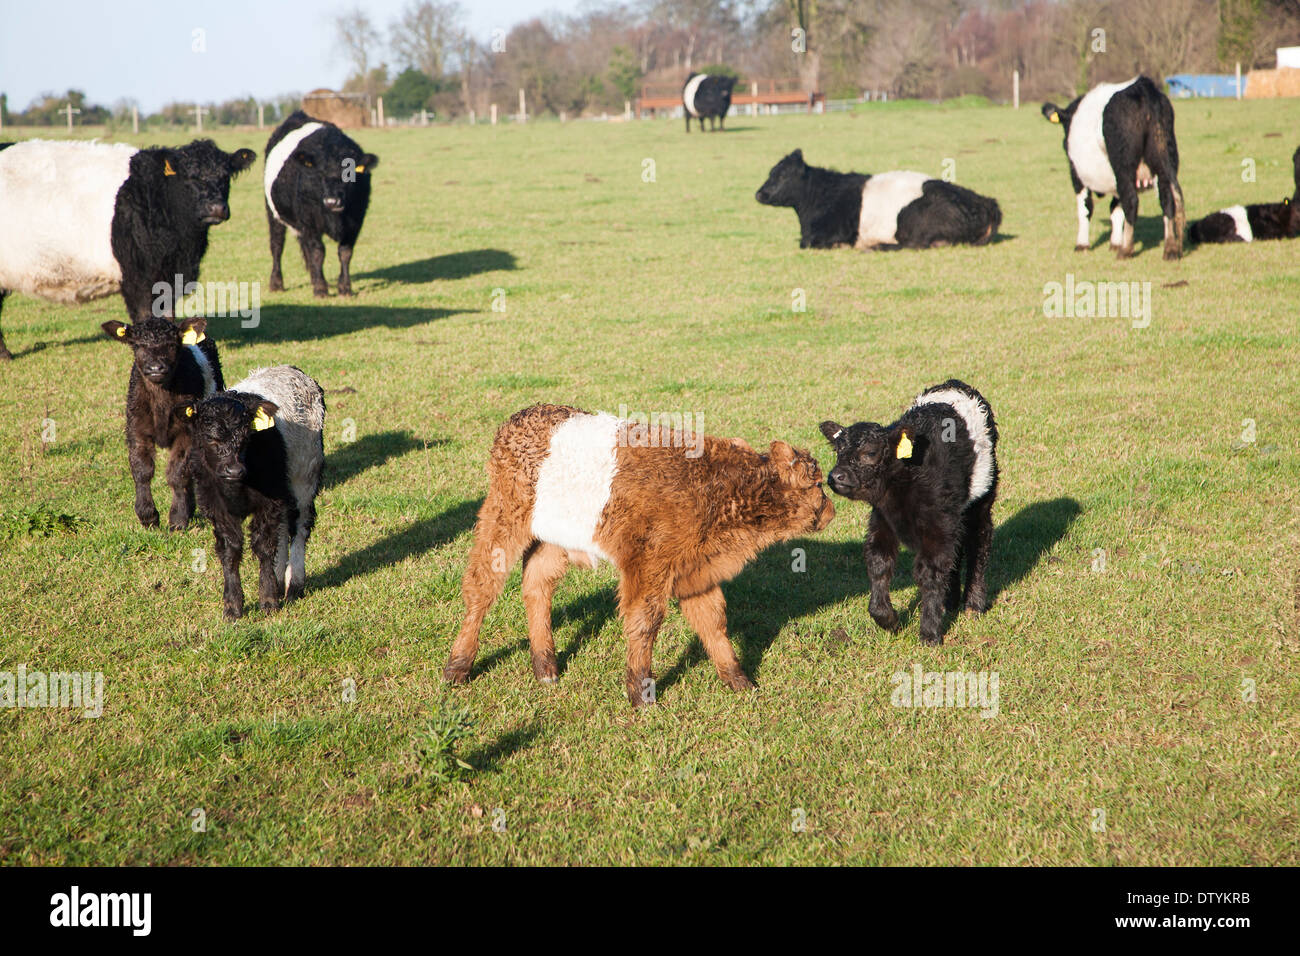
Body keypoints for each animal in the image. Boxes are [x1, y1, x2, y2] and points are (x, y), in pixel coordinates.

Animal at [0, 138, 256, 360]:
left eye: (226, 176)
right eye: (192, 177)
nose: (217, 208)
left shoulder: (168, 277)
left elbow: (168, 318)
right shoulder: (137, 278)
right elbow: (144, 317)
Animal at [264, 110, 379, 297]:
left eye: (349, 173)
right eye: (319, 173)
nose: (332, 201)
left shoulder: (355, 221)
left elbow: (345, 253)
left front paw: (345, 288)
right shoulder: (309, 221)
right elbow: (318, 252)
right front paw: (320, 289)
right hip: (273, 213)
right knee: (277, 246)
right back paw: (276, 283)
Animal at [1042, 76, 1185, 260]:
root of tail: (1143, 88)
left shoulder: (1076, 174)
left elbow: (1085, 209)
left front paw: (1082, 244)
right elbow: (1116, 210)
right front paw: (1115, 242)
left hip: (1123, 166)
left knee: (1131, 201)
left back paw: (1126, 250)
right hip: (1163, 162)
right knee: (1166, 200)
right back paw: (1170, 249)